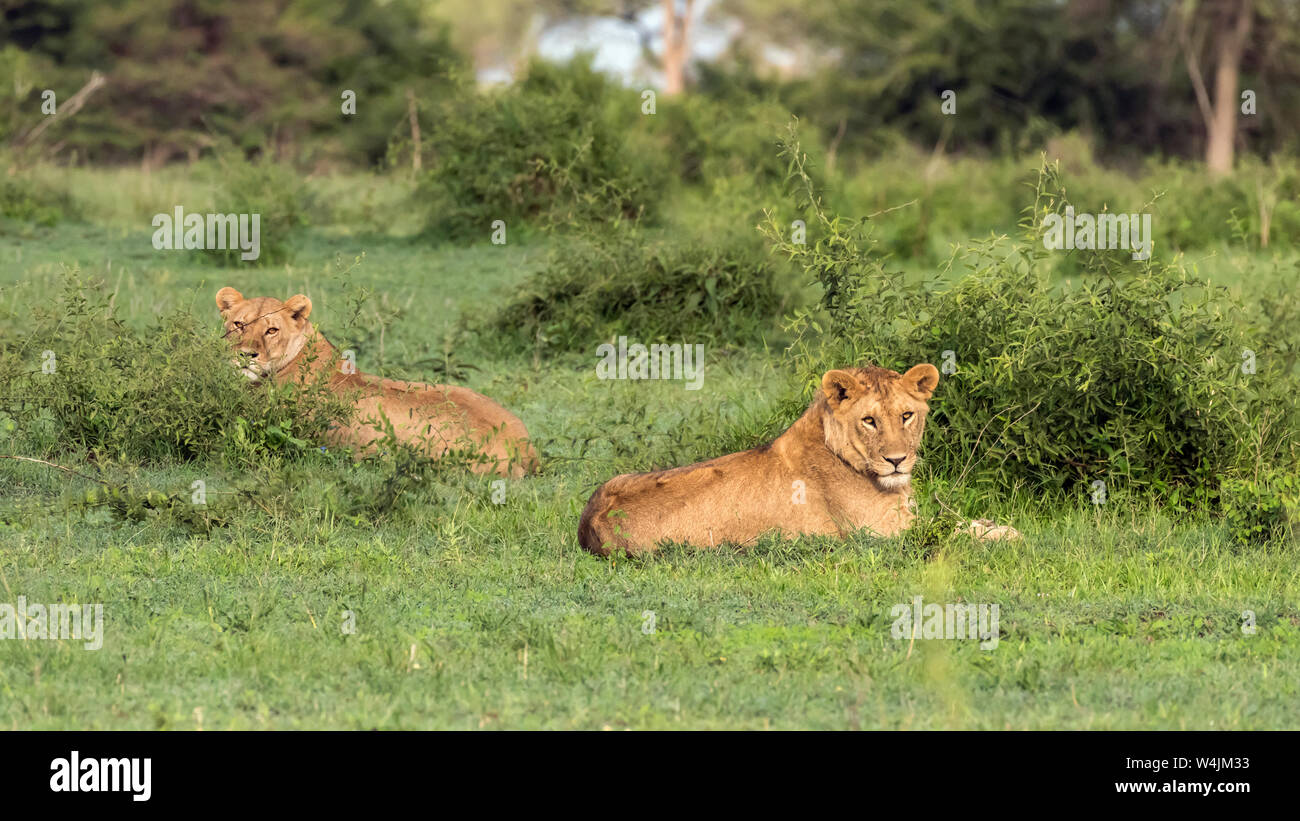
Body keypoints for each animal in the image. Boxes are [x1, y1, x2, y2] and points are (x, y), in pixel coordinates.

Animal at [577, 361, 1013, 555]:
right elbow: (949, 532)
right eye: (869, 420)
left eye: (906, 415)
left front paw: (994, 524)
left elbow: (954, 519)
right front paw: (1007, 534)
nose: (897, 460)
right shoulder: (883, 534)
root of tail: (589, 525)